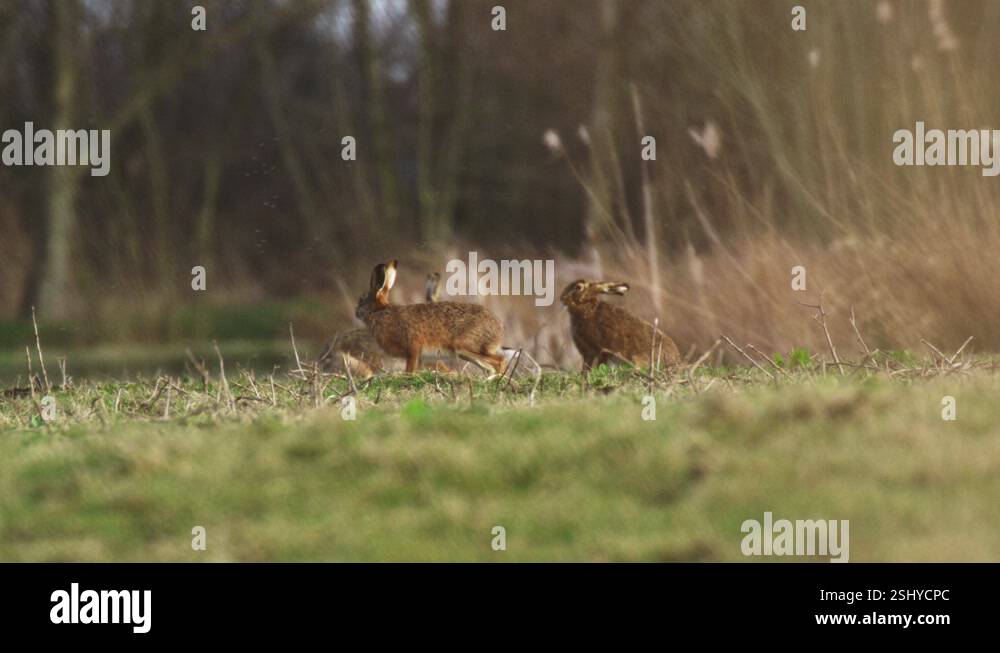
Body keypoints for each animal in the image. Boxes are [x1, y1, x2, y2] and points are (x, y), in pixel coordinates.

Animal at [356, 260, 507, 375]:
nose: (356, 312)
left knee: (500, 361)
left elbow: (410, 369)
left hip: (466, 345)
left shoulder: (413, 348)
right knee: (490, 366)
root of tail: (499, 330)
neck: (379, 311)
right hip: (465, 353)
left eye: (362, 300)